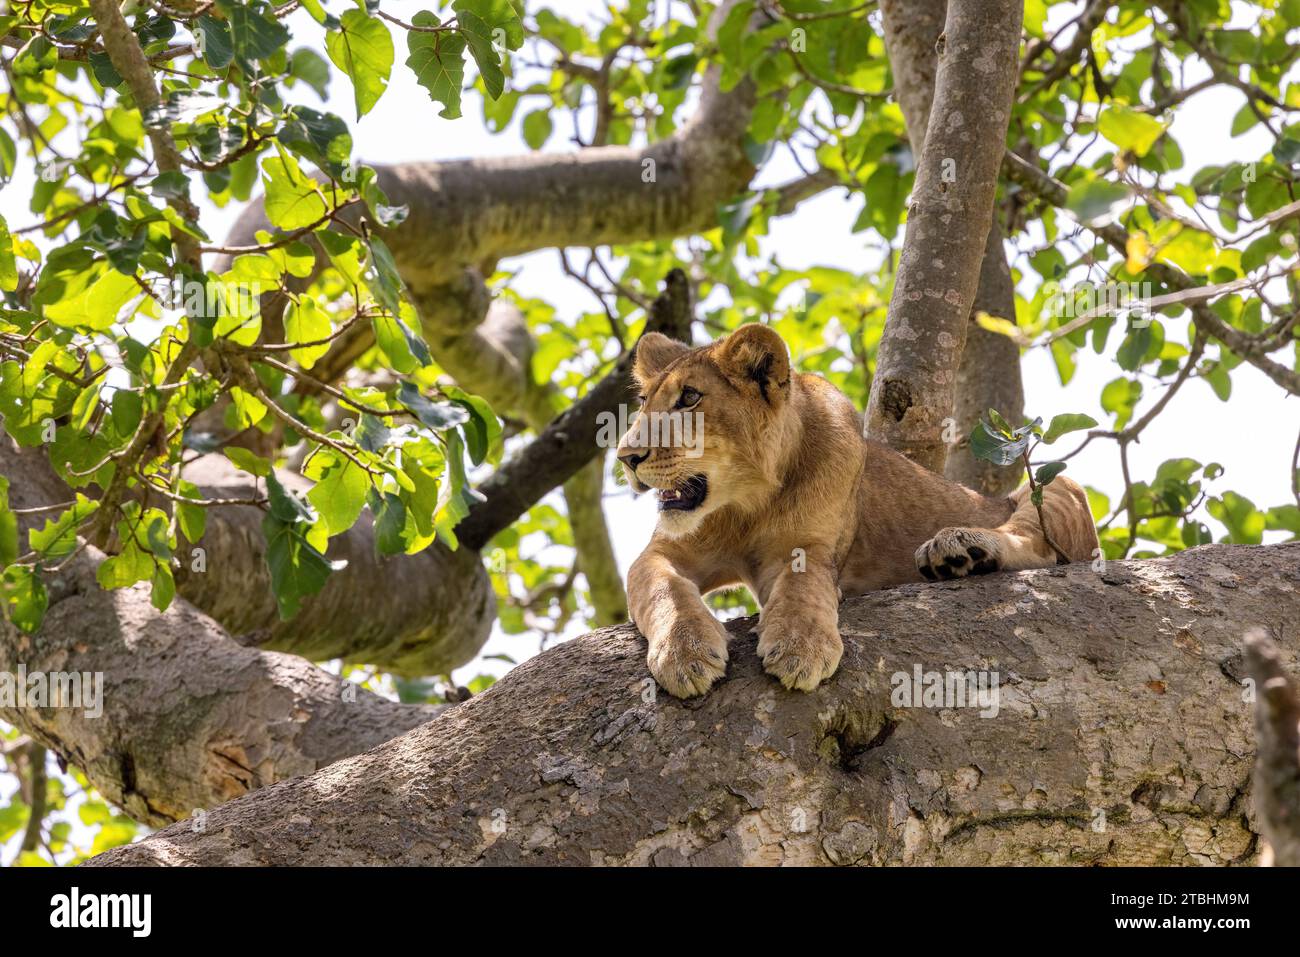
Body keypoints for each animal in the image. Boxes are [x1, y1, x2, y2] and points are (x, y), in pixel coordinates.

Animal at [616, 323, 1099, 699]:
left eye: (690, 398)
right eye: (644, 404)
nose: (626, 457)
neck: (747, 503)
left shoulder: (813, 545)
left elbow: (804, 585)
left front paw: (801, 646)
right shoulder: (663, 552)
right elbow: (665, 590)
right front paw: (686, 651)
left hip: (1058, 488)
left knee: (1040, 548)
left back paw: (958, 548)